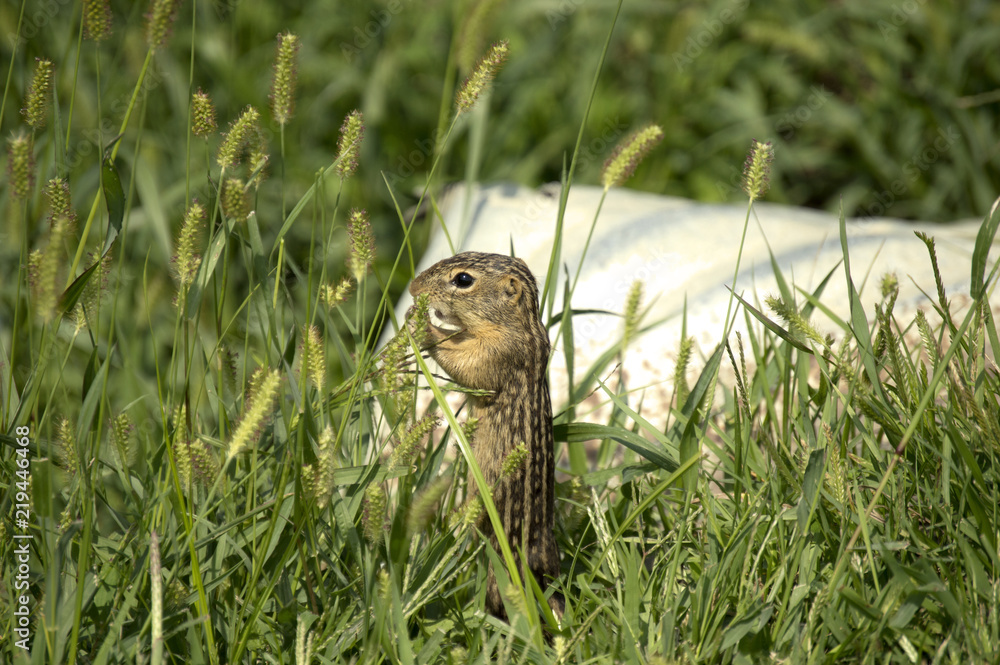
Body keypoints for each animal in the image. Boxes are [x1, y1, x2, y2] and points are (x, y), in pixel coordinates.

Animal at [409, 251, 563, 620]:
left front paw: (420, 325)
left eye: (463, 280)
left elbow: (462, 363)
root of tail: (543, 568)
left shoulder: (497, 352)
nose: (413, 287)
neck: (522, 324)